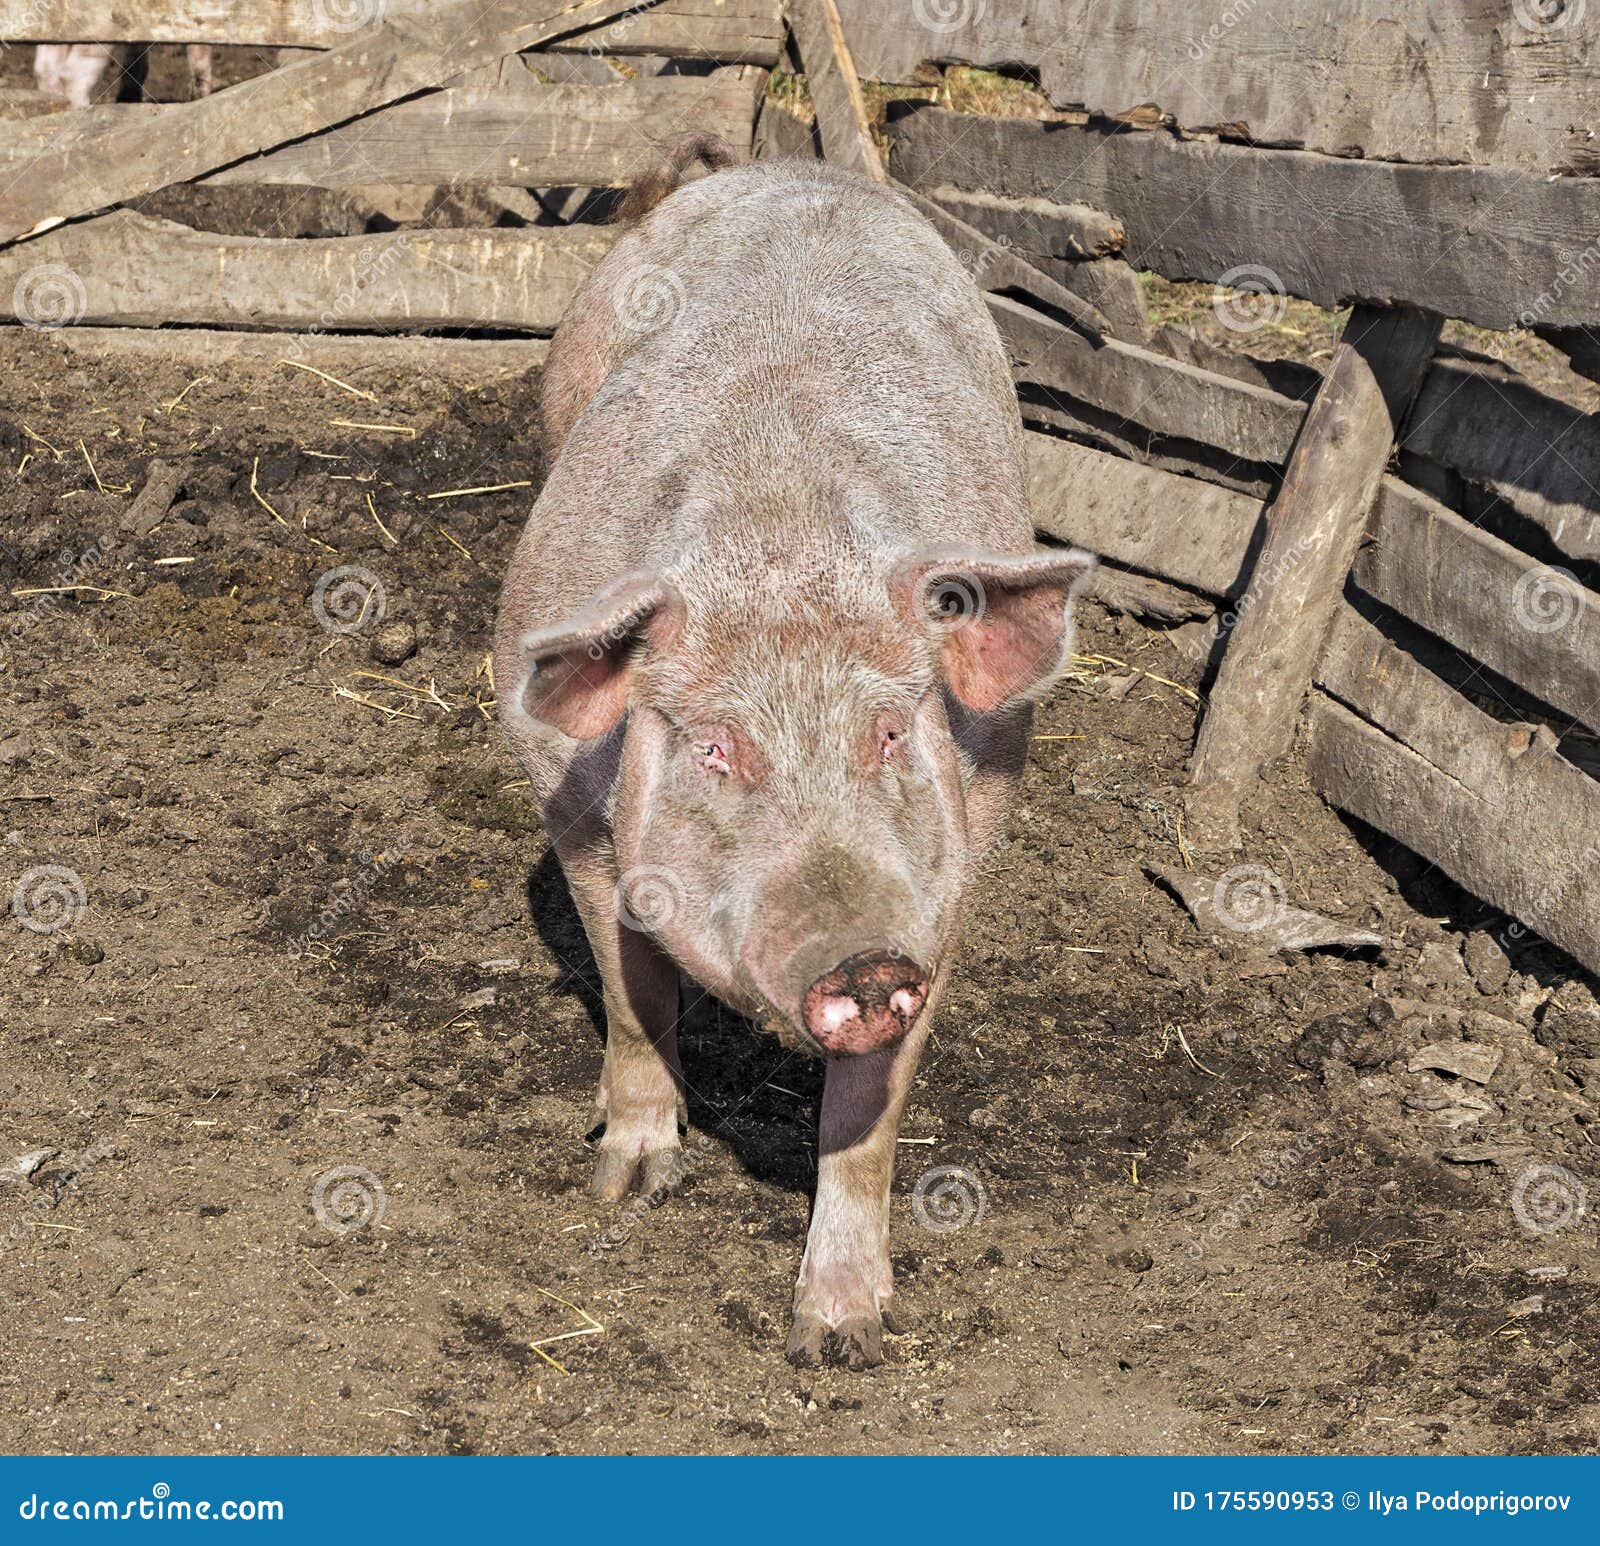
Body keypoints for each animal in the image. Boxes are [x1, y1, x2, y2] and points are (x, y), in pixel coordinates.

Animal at [496, 136, 1094, 1369]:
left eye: (890, 732)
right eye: (718, 749)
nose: (859, 960)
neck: (783, 554)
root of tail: (795, 167)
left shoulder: (944, 887)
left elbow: (868, 1118)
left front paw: (840, 1338)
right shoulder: (567, 810)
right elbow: (632, 994)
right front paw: (628, 1181)